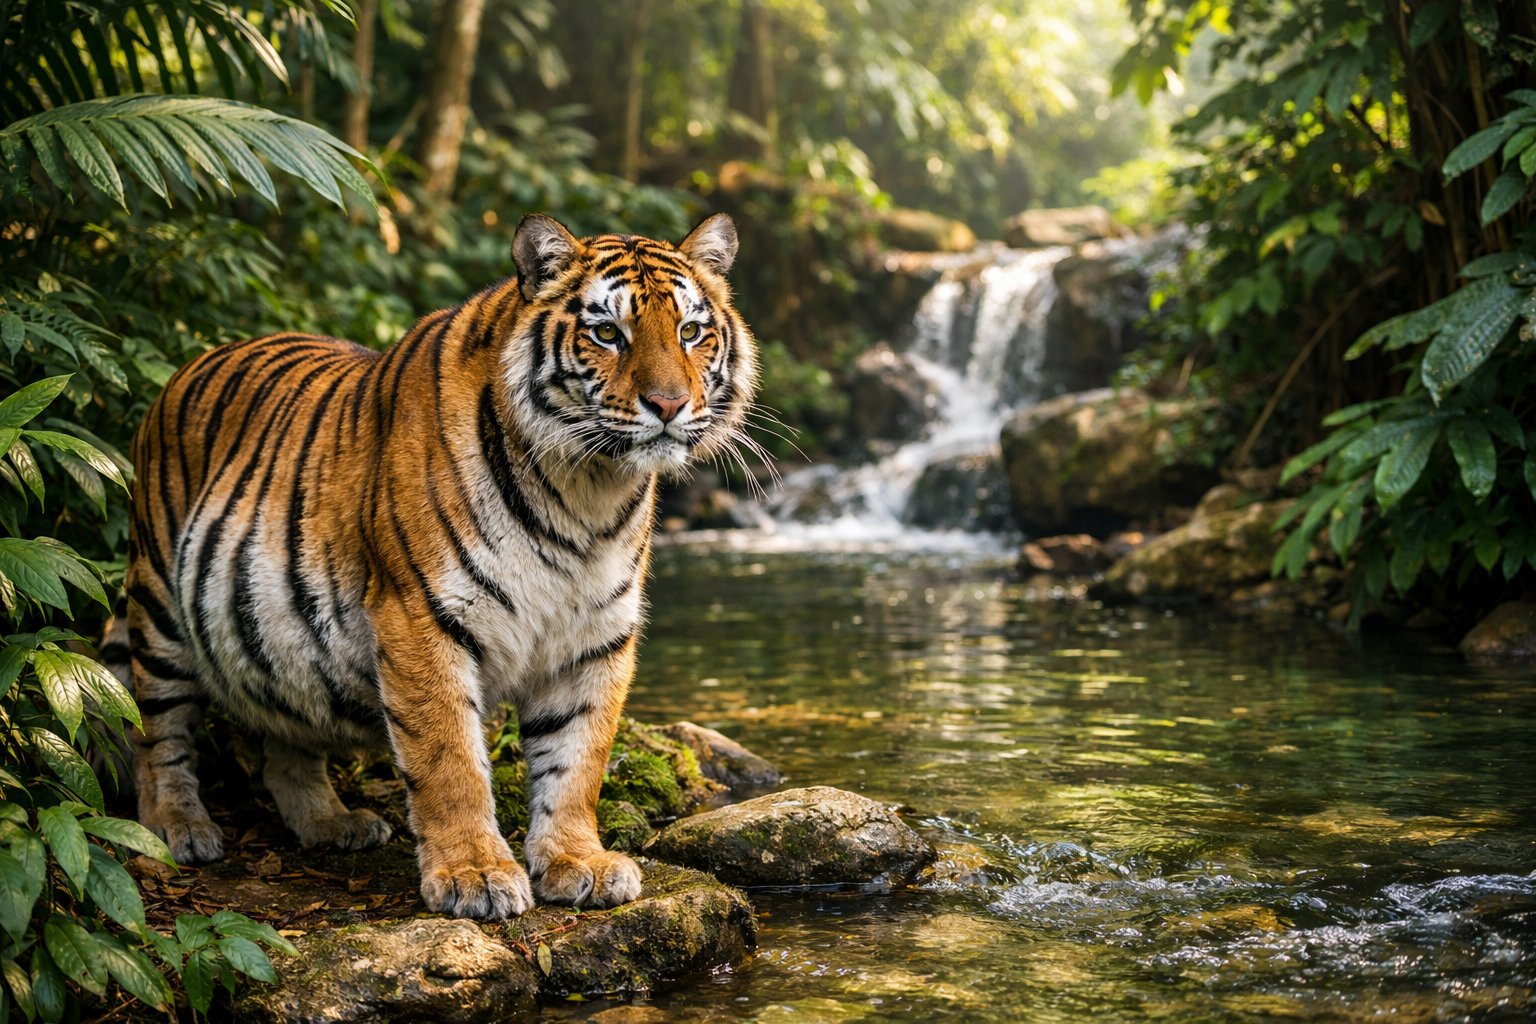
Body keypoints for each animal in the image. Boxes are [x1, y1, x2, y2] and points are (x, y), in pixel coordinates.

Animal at [121, 213, 757, 919]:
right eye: (607, 334)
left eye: (691, 332)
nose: (669, 405)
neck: (587, 492)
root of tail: (190, 364)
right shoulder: (421, 616)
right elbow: (449, 756)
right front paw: (474, 875)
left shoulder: (595, 634)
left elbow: (578, 759)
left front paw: (577, 862)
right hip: (159, 609)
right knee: (156, 733)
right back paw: (177, 828)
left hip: (279, 638)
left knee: (286, 734)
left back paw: (331, 823)